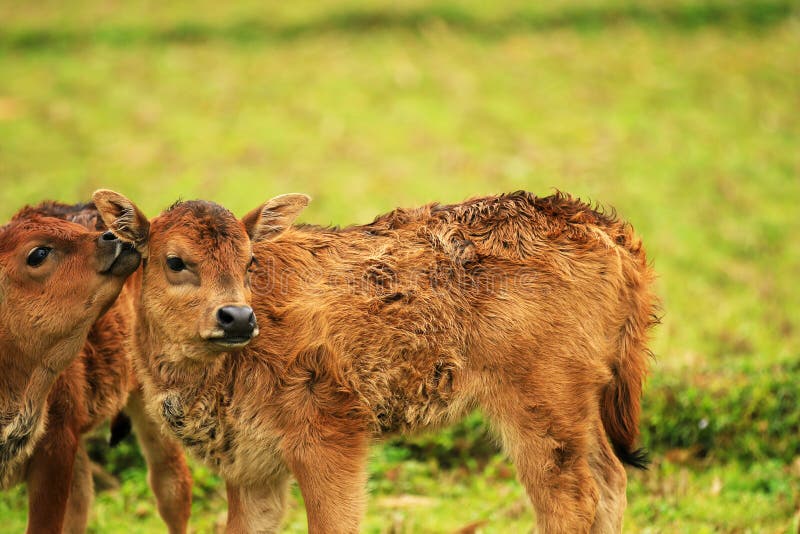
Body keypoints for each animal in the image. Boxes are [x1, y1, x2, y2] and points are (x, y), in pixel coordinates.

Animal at [93, 189, 657, 533]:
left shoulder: (330, 438)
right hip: (578, 407)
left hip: (540, 406)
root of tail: (603, 228)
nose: (236, 317)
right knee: (611, 482)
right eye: (175, 261)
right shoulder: (250, 465)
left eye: (250, 261)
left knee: (572, 500)